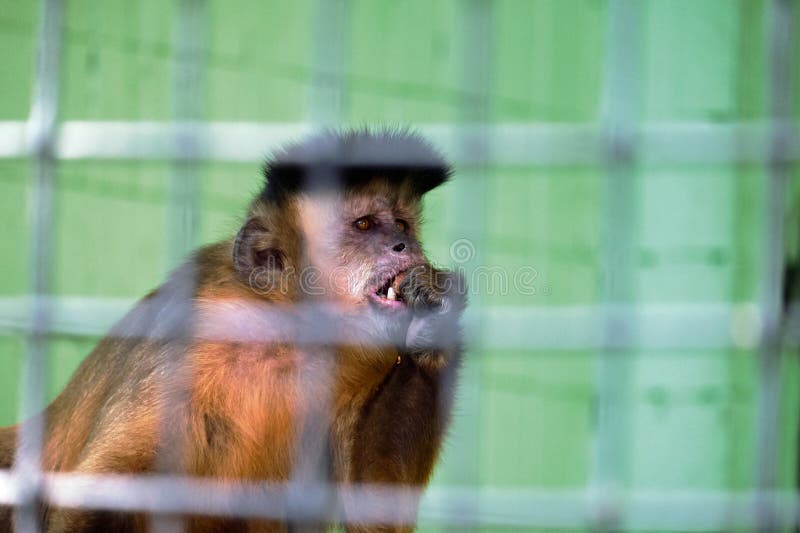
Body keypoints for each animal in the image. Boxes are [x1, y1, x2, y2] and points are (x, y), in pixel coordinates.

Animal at [0, 129, 466, 532]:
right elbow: (103, 494)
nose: (406, 245)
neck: (285, 341)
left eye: (401, 225)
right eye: (366, 225)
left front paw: (434, 320)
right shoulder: (192, 332)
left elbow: (375, 514)